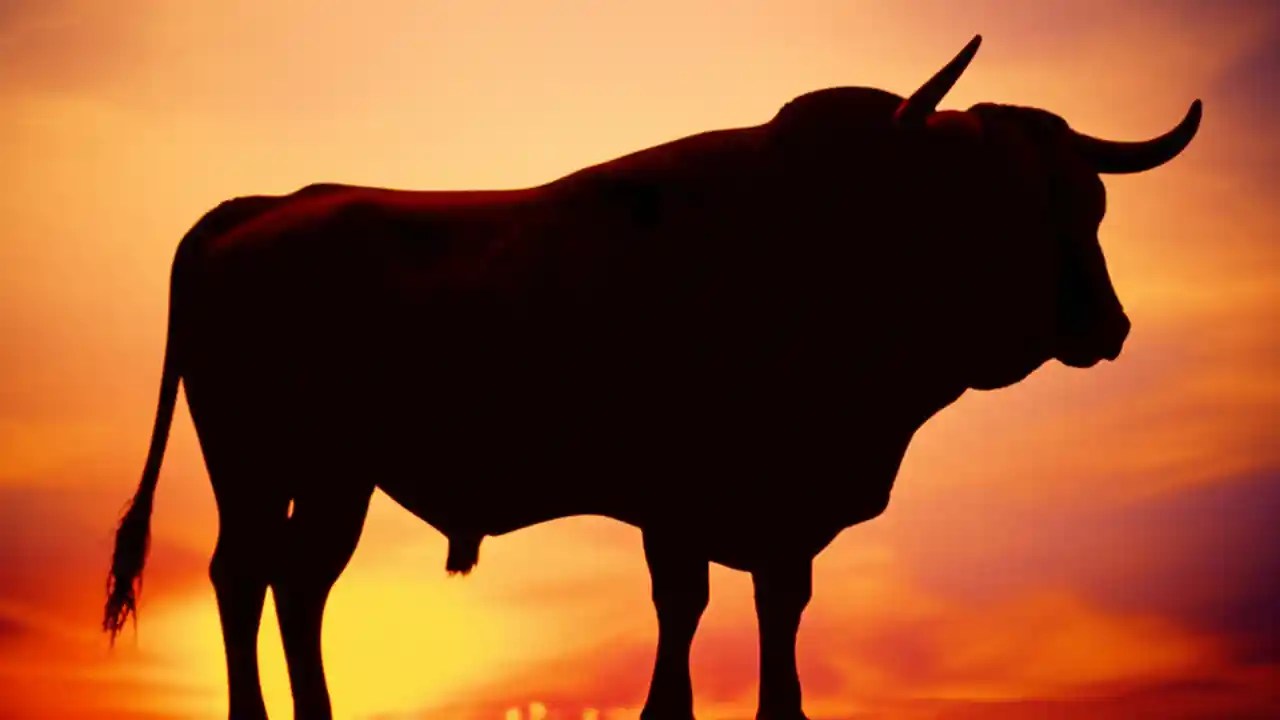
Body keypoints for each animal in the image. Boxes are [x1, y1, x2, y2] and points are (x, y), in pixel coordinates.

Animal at [104, 36, 1200, 720]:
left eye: (1092, 203)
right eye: (991, 204)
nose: (1107, 326)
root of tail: (271, 203)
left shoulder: (781, 514)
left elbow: (778, 624)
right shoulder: (676, 500)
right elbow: (681, 627)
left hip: (336, 477)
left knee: (298, 584)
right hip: (253, 464)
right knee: (244, 577)